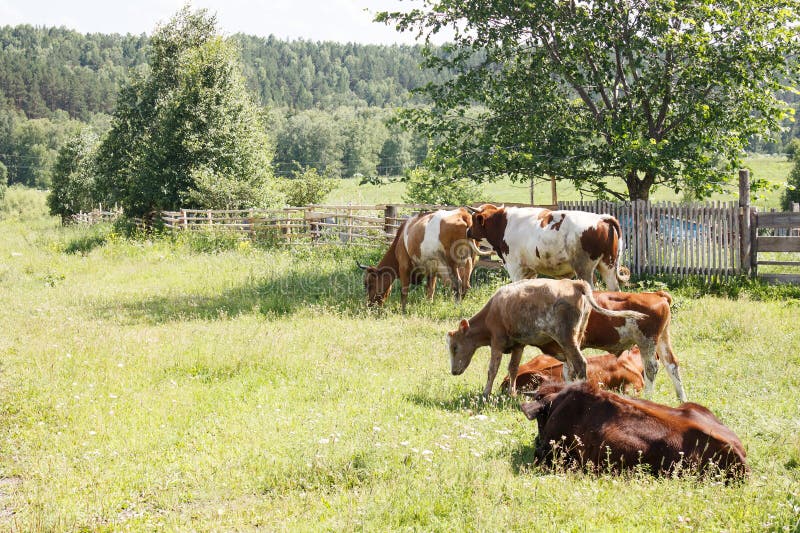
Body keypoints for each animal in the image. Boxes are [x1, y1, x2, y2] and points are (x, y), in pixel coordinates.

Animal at [357, 208, 490, 312]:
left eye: (368, 283)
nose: (368, 305)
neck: (400, 240)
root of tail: (462, 213)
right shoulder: (432, 269)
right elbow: (430, 290)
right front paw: (429, 305)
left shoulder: (404, 266)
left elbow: (404, 290)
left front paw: (403, 310)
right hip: (470, 260)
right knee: (466, 285)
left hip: (452, 262)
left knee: (457, 283)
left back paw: (456, 307)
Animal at [466, 204, 629, 290]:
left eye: (473, 219)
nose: (467, 231)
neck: (503, 223)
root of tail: (602, 218)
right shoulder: (530, 271)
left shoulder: (515, 269)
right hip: (607, 266)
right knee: (614, 289)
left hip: (584, 270)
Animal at [535, 290, 688, 402]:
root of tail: (656, 294)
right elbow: (568, 372)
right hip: (662, 338)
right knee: (672, 364)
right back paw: (682, 399)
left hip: (647, 340)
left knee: (651, 368)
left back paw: (648, 398)